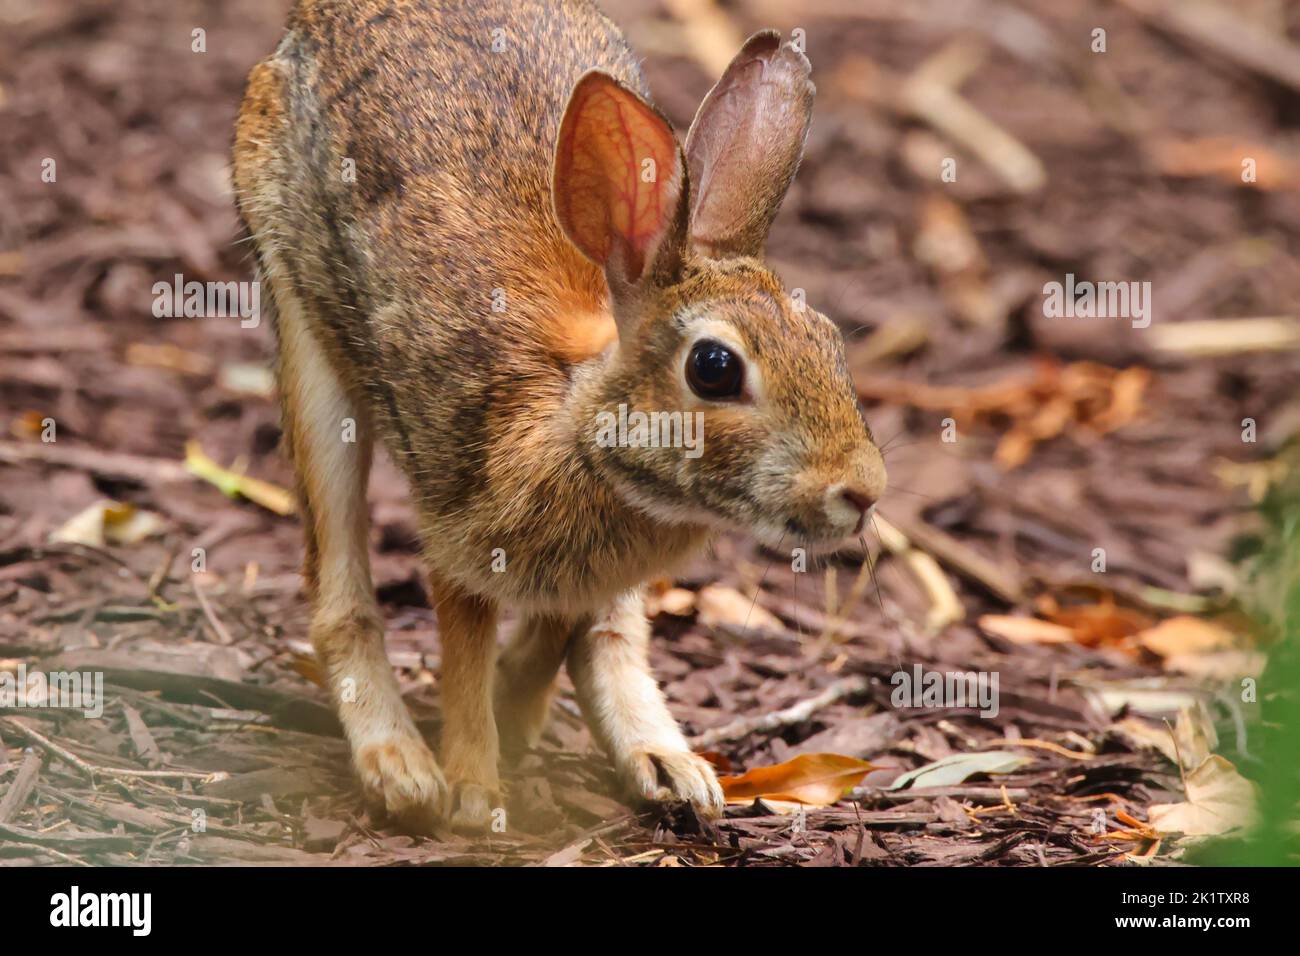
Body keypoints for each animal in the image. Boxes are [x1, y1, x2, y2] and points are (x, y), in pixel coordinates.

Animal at [232, 0, 886, 832]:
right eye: (714, 368)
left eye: (831, 341)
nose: (863, 491)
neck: (581, 423)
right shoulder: (461, 536)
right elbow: (465, 652)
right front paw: (476, 792)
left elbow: (578, 633)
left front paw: (533, 727)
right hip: (299, 311)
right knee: (338, 581)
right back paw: (401, 768)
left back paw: (670, 765)